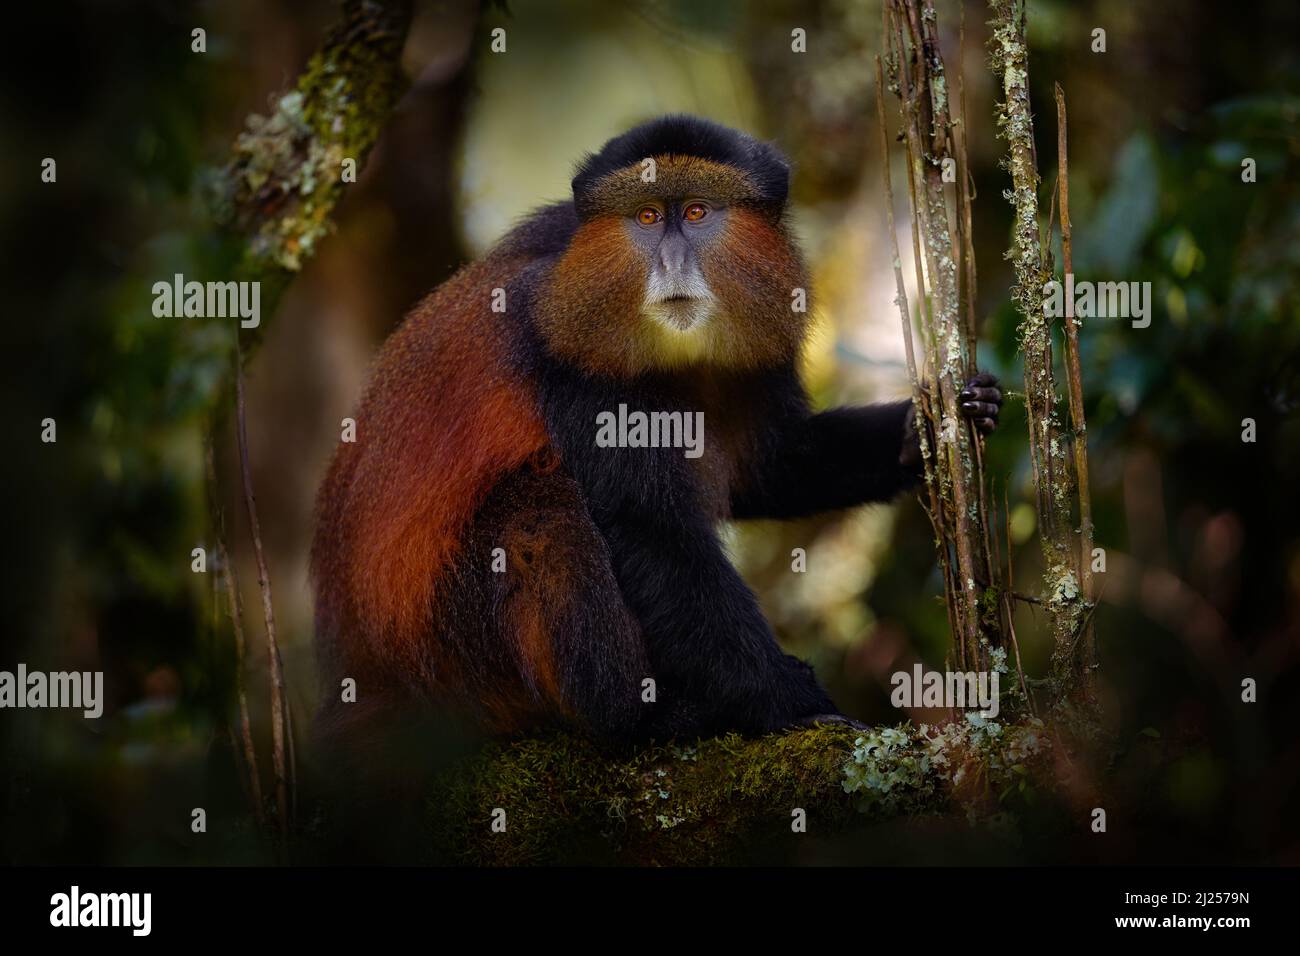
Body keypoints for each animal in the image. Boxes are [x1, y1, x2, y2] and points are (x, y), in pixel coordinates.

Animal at [310, 114, 1002, 752]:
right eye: (645, 217)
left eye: (694, 212)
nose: (670, 261)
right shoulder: (570, 353)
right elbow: (653, 530)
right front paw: (792, 702)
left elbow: (772, 466)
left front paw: (933, 424)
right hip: (456, 658)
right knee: (538, 513)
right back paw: (641, 717)